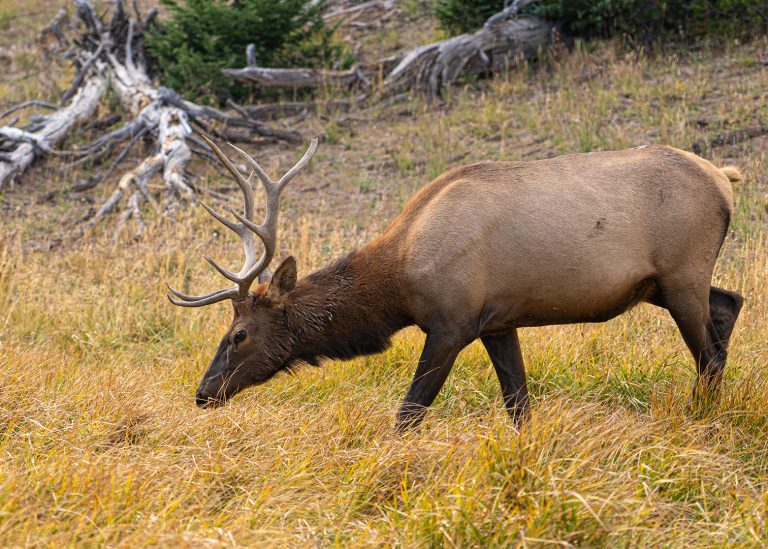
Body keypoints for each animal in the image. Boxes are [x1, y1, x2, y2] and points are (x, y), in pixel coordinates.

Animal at [168, 136, 744, 430]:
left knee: (710, 354)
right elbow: (519, 406)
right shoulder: (498, 322)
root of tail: (725, 177)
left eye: (239, 333)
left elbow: (408, 412)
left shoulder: (452, 322)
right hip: (662, 286)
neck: (399, 279)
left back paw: (698, 421)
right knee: (729, 304)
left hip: (682, 275)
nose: (203, 393)